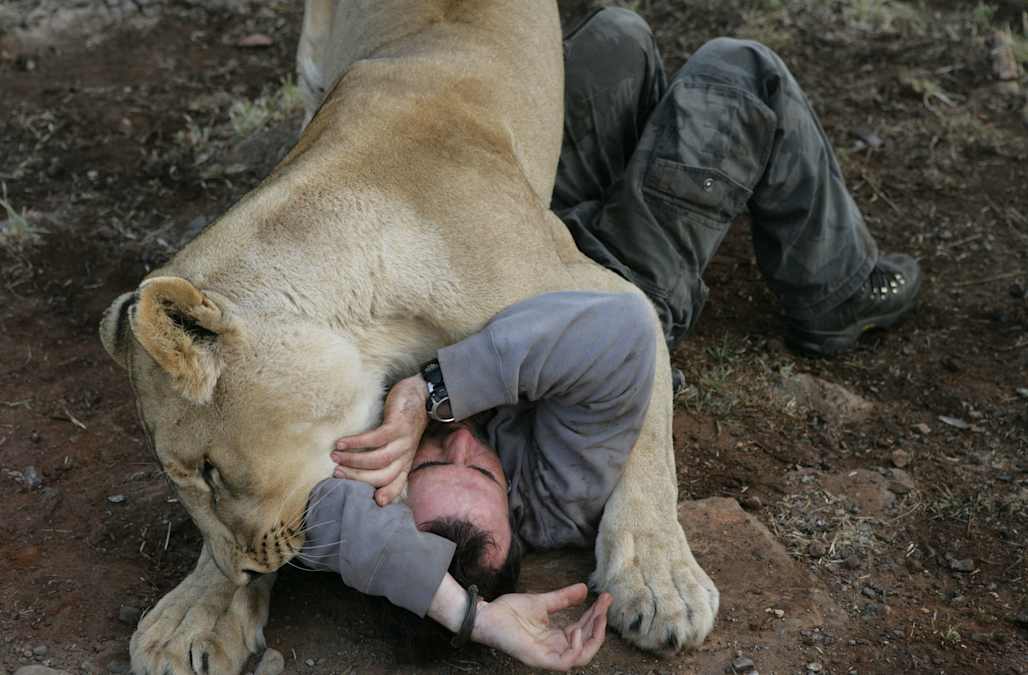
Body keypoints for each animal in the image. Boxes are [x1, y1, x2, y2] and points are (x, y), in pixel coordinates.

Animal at [99, 1, 719, 672]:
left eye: (210, 471)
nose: (243, 570)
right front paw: (196, 613)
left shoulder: (611, 291)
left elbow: (647, 446)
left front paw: (660, 583)